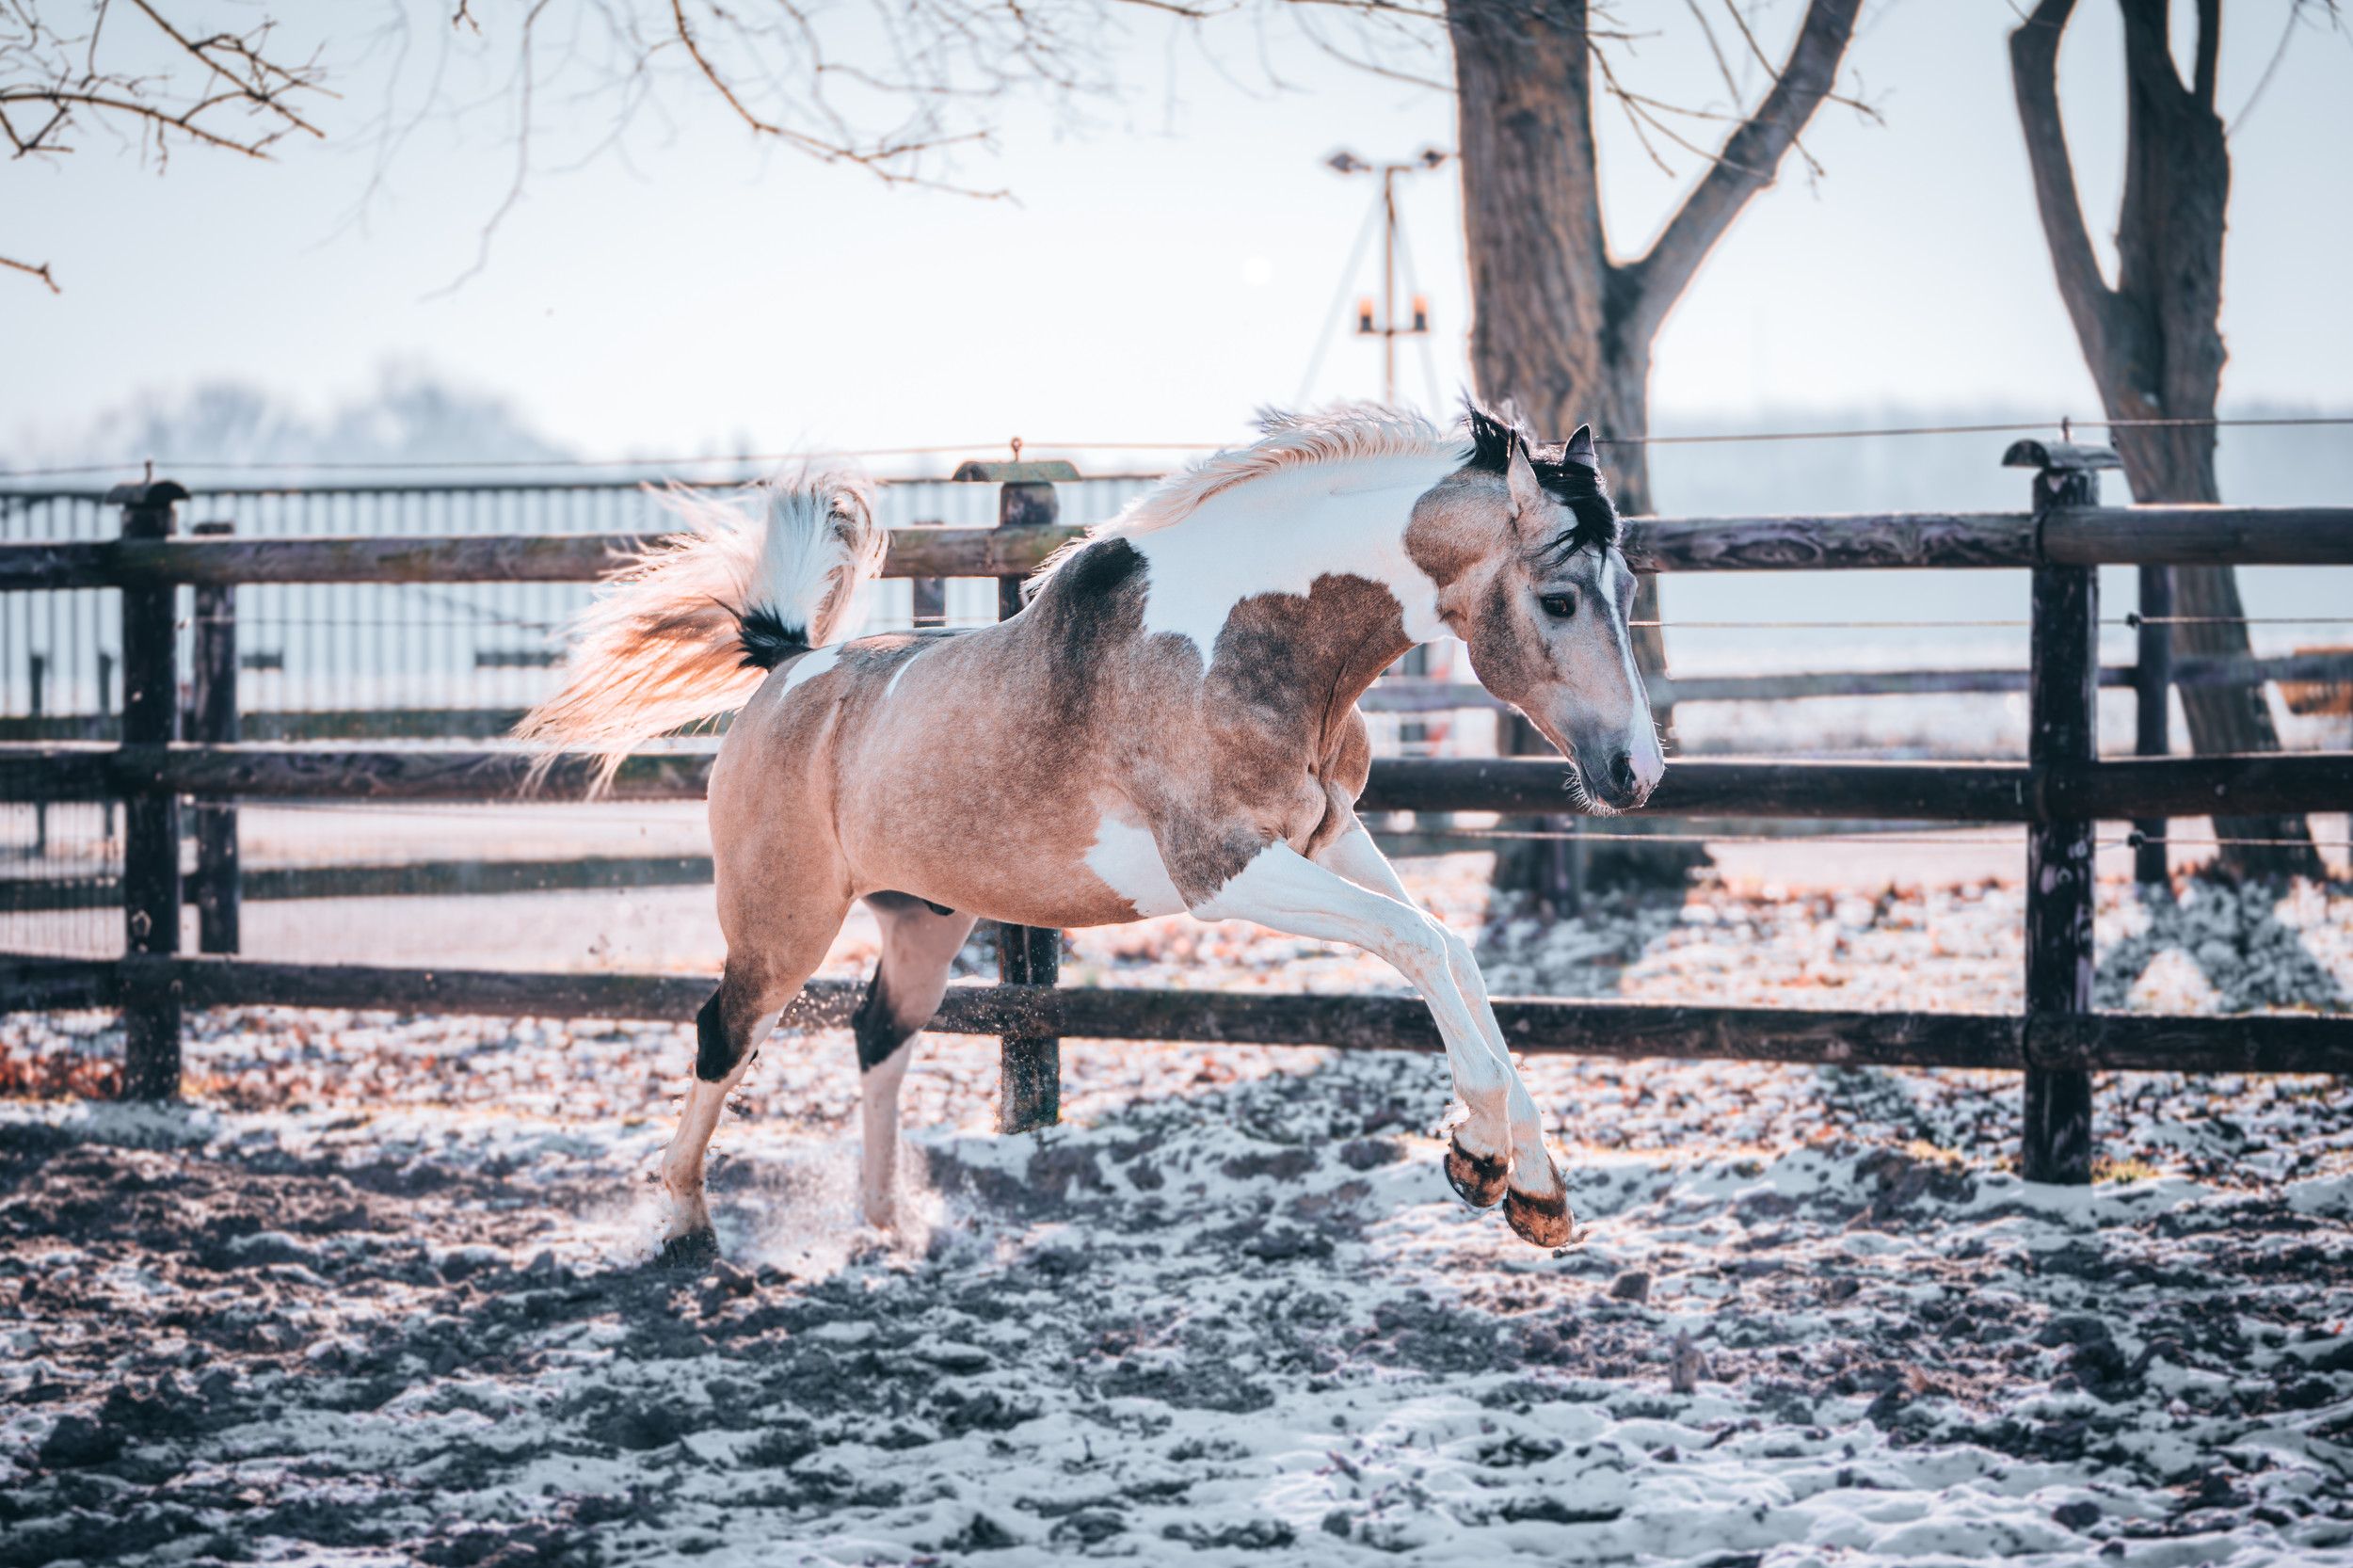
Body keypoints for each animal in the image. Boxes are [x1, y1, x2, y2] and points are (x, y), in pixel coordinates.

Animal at [519, 402, 1664, 1263]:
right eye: (1559, 599)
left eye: (1627, 586)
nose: (1636, 774)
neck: (1239, 643)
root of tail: (789, 665)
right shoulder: (1226, 871)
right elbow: (1422, 944)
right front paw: (1481, 1156)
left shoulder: (1330, 838)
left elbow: (1450, 951)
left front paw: (1528, 1188)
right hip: (781, 922)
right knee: (723, 1034)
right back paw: (684, 1227)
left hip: (924, 921)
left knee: (878, 1036)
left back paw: (887, 1227)